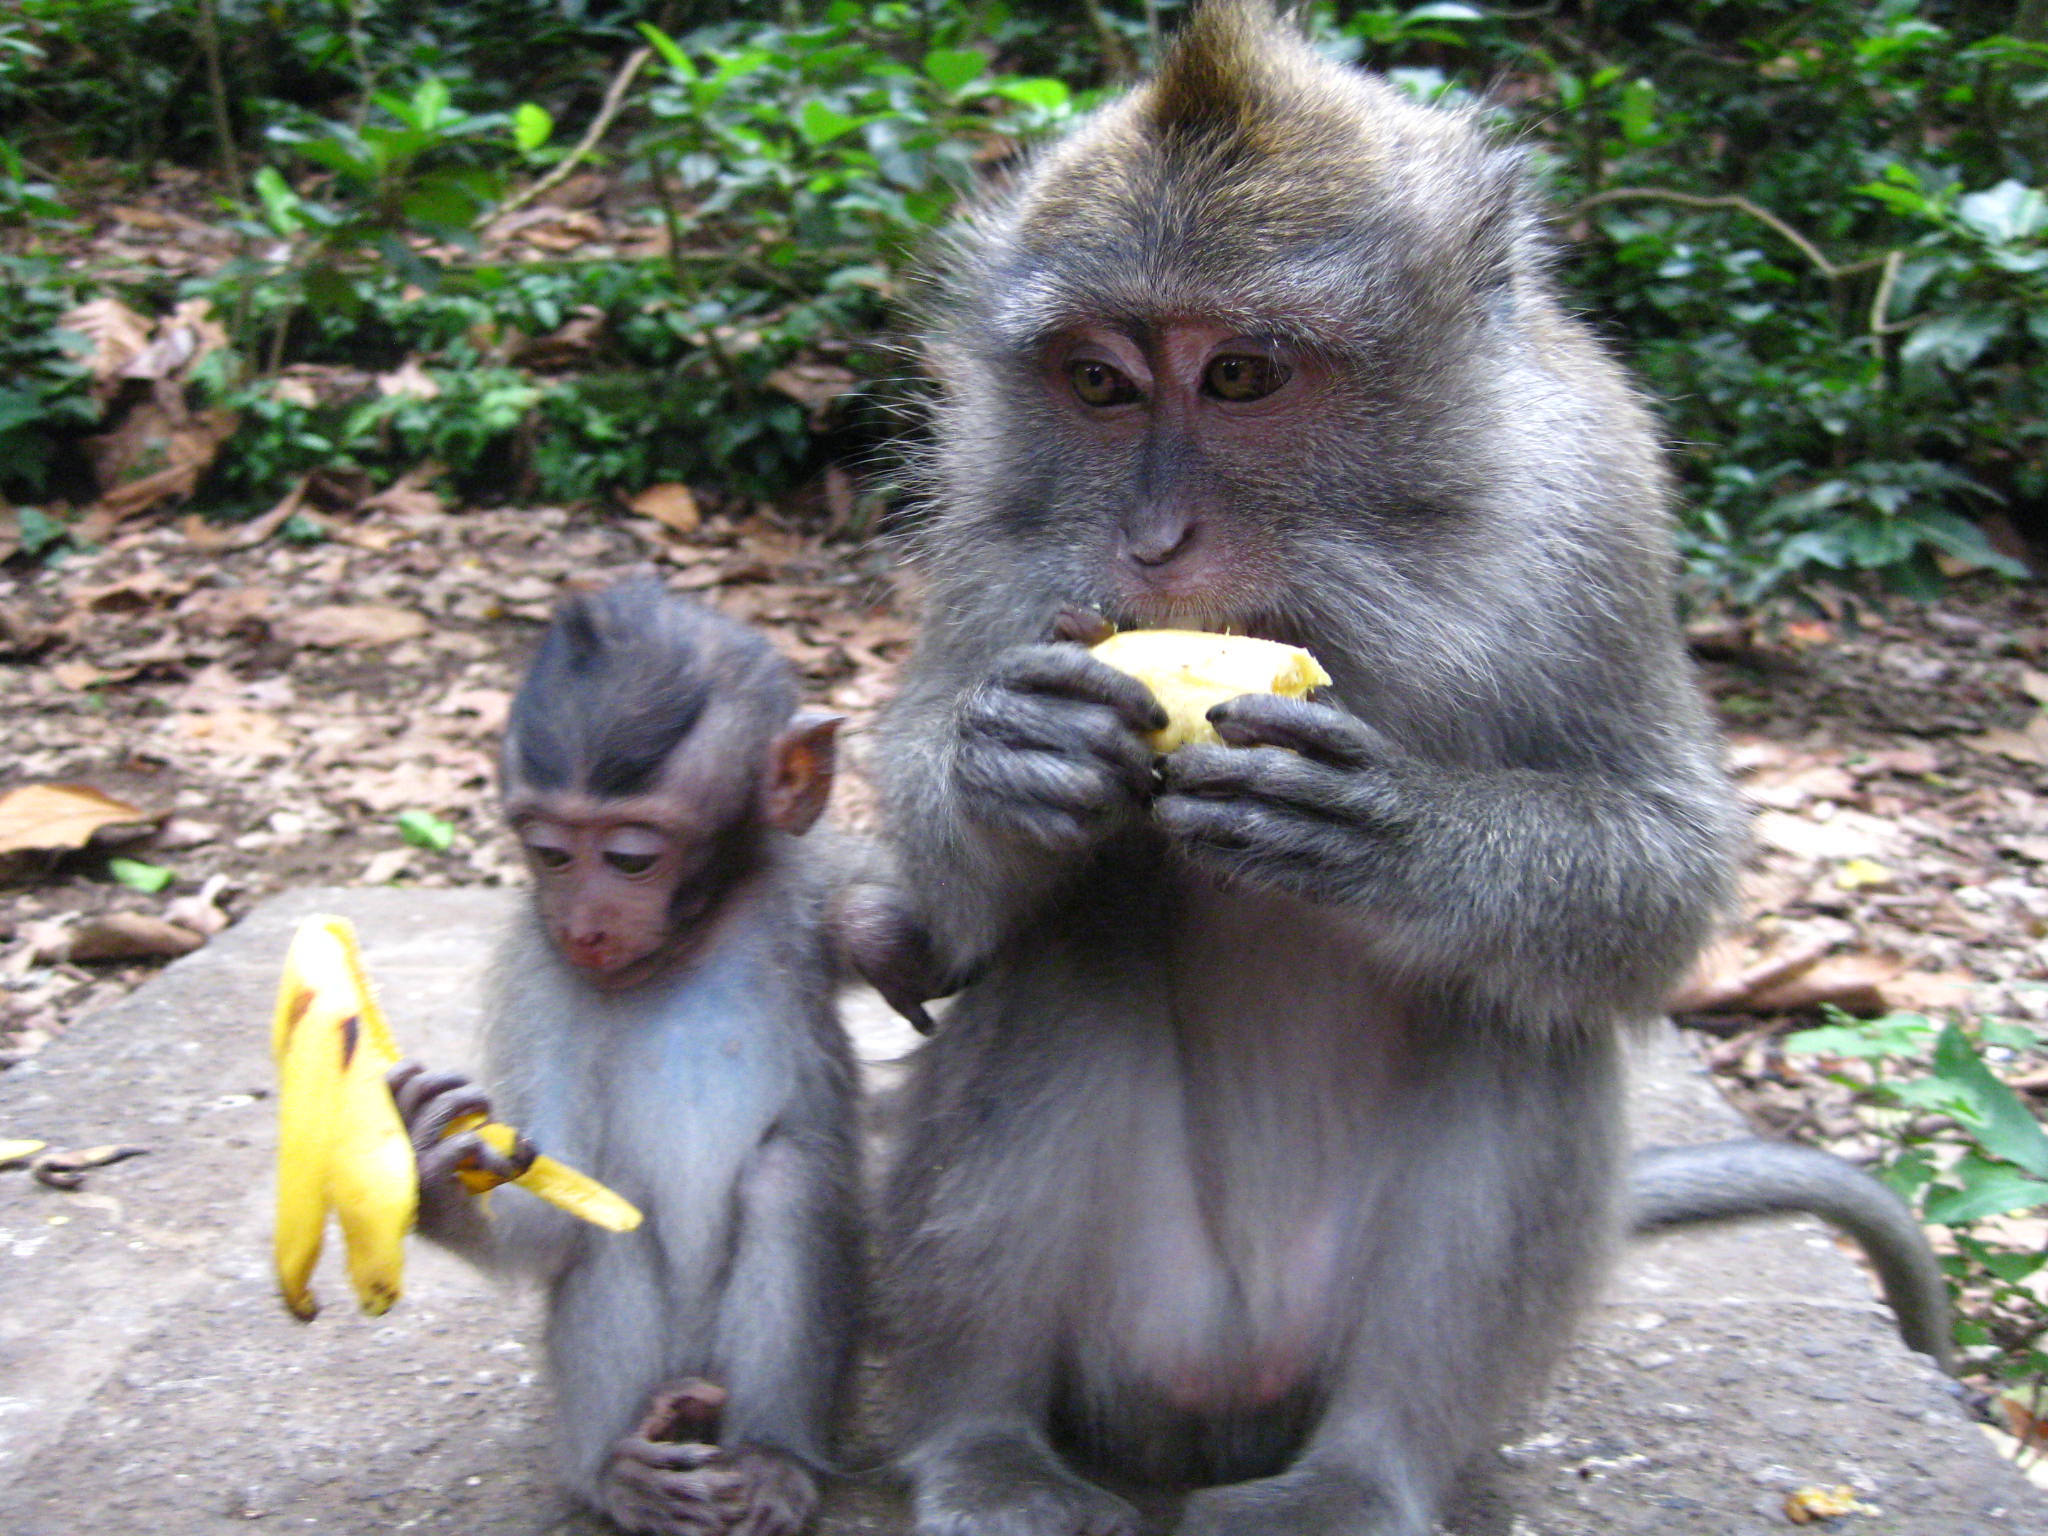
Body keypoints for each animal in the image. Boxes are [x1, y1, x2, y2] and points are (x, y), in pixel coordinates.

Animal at [387, 579, 858, 1536]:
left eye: (631, 858)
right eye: (549, 853)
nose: (585, 922)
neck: (687, 941)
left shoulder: (815, 884)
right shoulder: (538, 965)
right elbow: (545, 1211)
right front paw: (432, 1172)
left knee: (788, 1178)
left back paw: (769, 1455)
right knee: (612, 1210)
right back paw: (623, 1467)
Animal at [860, 3, 1759, 1532]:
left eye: (1239, 376)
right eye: (1097, 383)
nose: (1153, 542)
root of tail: (1223, 1390)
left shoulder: (1600, 492)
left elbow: (1660, 867)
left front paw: (1396, 838)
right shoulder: (996, 512)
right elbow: (965, 913)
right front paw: (1011, 761)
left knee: (1523, 1019)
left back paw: (1363, 1470)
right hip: (1136, 1326)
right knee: (1062, 960)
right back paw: (983, 1443)